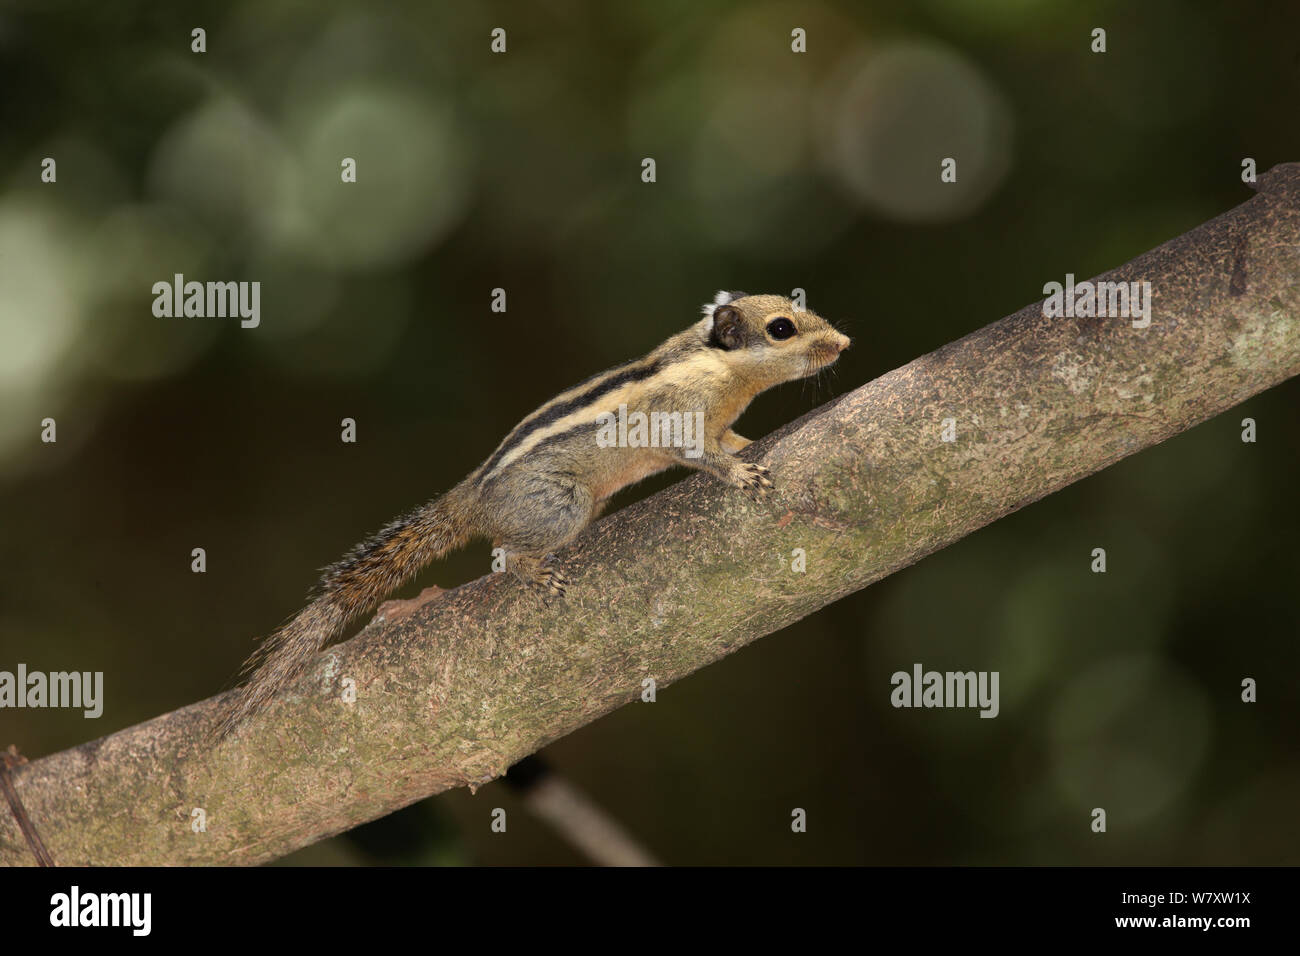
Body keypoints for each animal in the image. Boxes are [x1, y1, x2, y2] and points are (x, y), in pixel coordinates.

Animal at [212, 291, 850, 741]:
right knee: (504, 553)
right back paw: (531, 569)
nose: (844, 342)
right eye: (782, 327)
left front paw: (744, 446)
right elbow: (701, 455)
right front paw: (739, 473)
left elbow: (728, 439)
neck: (721, 368)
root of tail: (472, 496)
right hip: (560, 504)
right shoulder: (682, 421)